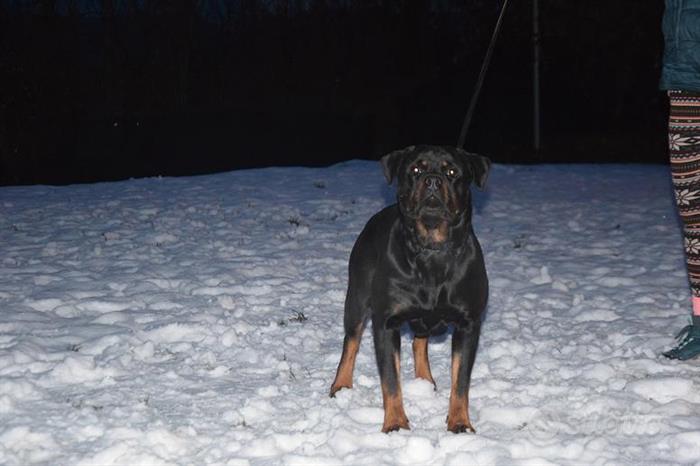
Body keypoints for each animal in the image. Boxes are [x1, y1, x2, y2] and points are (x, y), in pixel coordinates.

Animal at [330, 145, 490, 434]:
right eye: (415, 169)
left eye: (452, 172)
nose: (433, 180)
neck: (432, 251)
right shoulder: (386, 323)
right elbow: (391, 381)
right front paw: (395, 423)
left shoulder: (469, 324)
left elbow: (461, 381)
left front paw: (460, 422)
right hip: (356, 298)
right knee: (351, 342)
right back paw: (341, 385)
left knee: (419, 341)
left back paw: (425, 381)